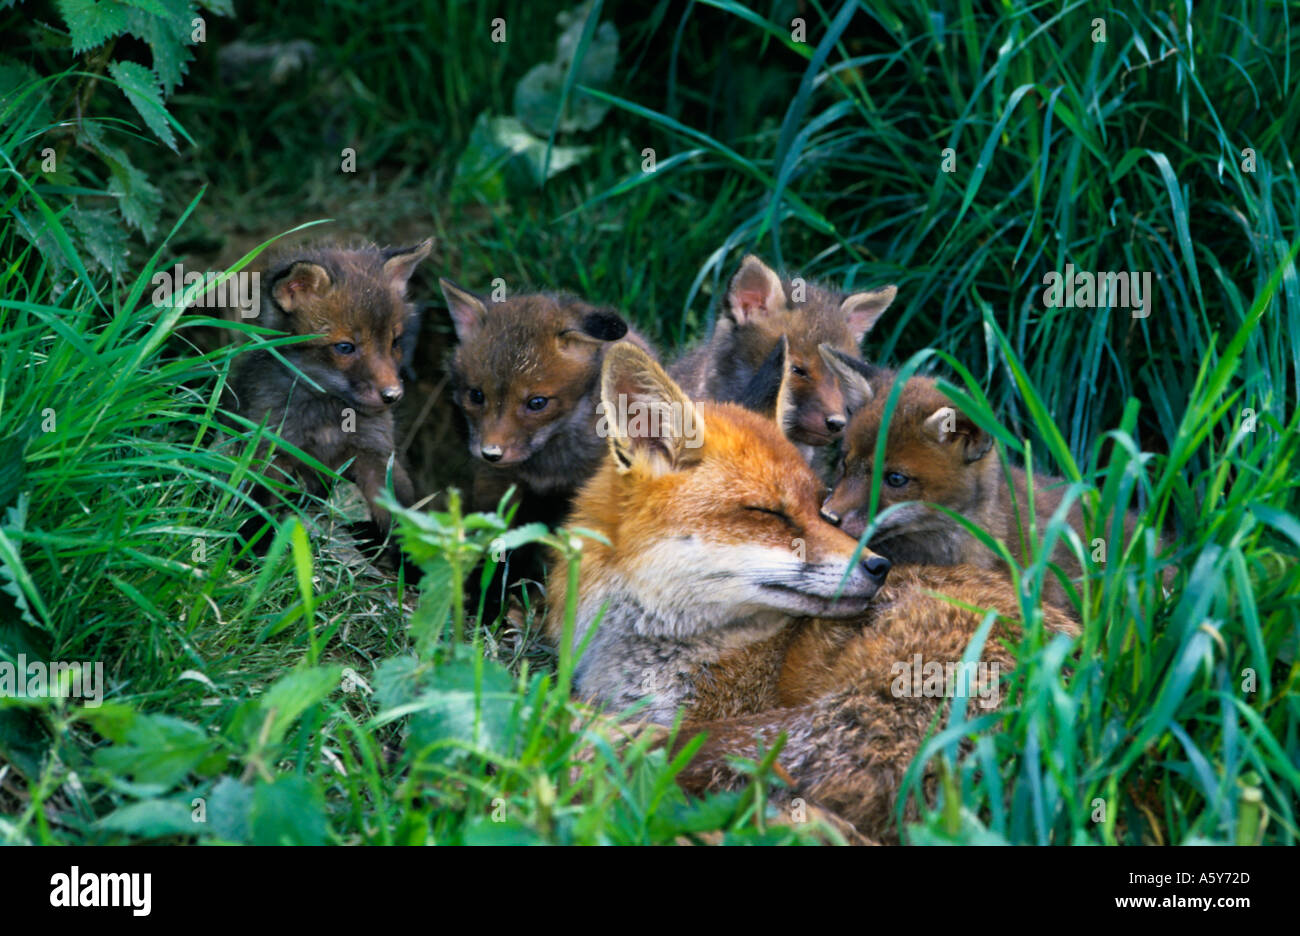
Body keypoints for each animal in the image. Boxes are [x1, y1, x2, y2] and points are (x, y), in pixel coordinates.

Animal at [225, 239, 431, 558]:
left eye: (394, 343)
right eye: (345, 347)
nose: (392, 395)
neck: (328, 419)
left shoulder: (376, 453)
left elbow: (399, 514)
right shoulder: (271, 445)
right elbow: (256, 502)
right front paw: (249, 551)